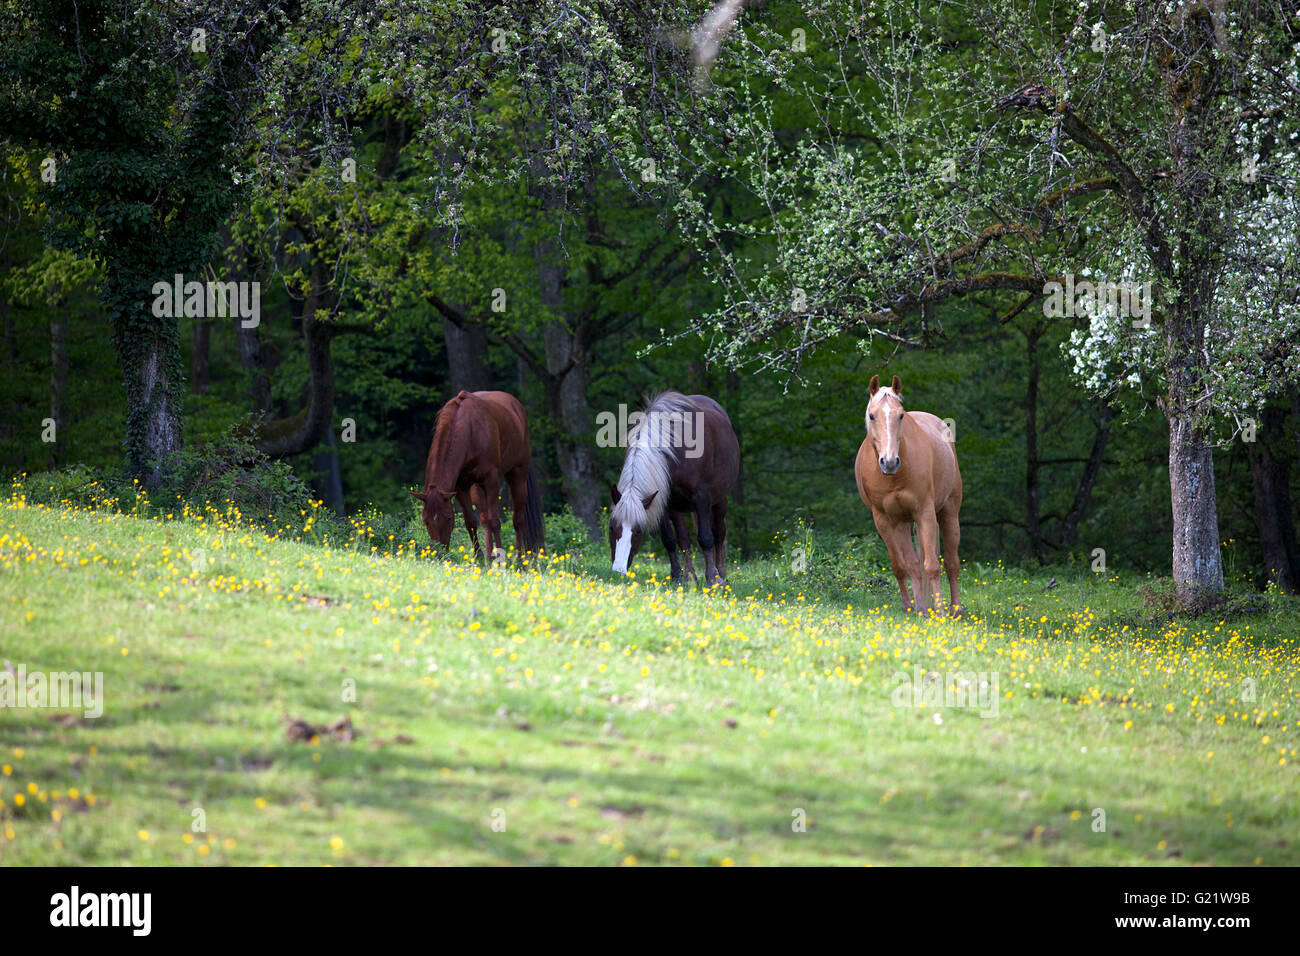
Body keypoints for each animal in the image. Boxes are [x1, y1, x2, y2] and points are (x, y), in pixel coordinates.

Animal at [411, 390, 544, 562]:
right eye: (425, 520)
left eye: (448, 518)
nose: (439, 554)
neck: (470, 431)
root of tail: (516, 406)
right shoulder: (460, 487)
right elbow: (471, 522)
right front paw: (480, 558)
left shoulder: (491, 480)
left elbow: (495, 521)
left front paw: (500, 558)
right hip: (477, 487)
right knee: (484, 519)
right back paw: (489, 556)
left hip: (518, 475)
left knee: (518, 520)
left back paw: (519, 558)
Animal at [609, 392, 739, 586]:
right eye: (611, 527)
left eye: (638, 530)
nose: (618, 570)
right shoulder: (662, 500)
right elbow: (671, 539)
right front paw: (680, 576)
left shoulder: (702, 497)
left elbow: (706, 538)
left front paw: (713, 579)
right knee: (685, 538)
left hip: (720, 500)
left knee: (719, 534)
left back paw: (721, 573)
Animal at [854, 375, 963, 616]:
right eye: (872, 415)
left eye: (901, 415)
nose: (889, 462)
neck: (895, 478)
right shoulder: (885, 520)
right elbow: (901, 566)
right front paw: (912, 606)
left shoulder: (925, 514)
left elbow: (932, 566)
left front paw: (939, 612)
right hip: (902, 523)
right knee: (913, 563)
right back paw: (920, 606)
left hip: (949, 513)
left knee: (952, 563)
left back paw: (955, 609)